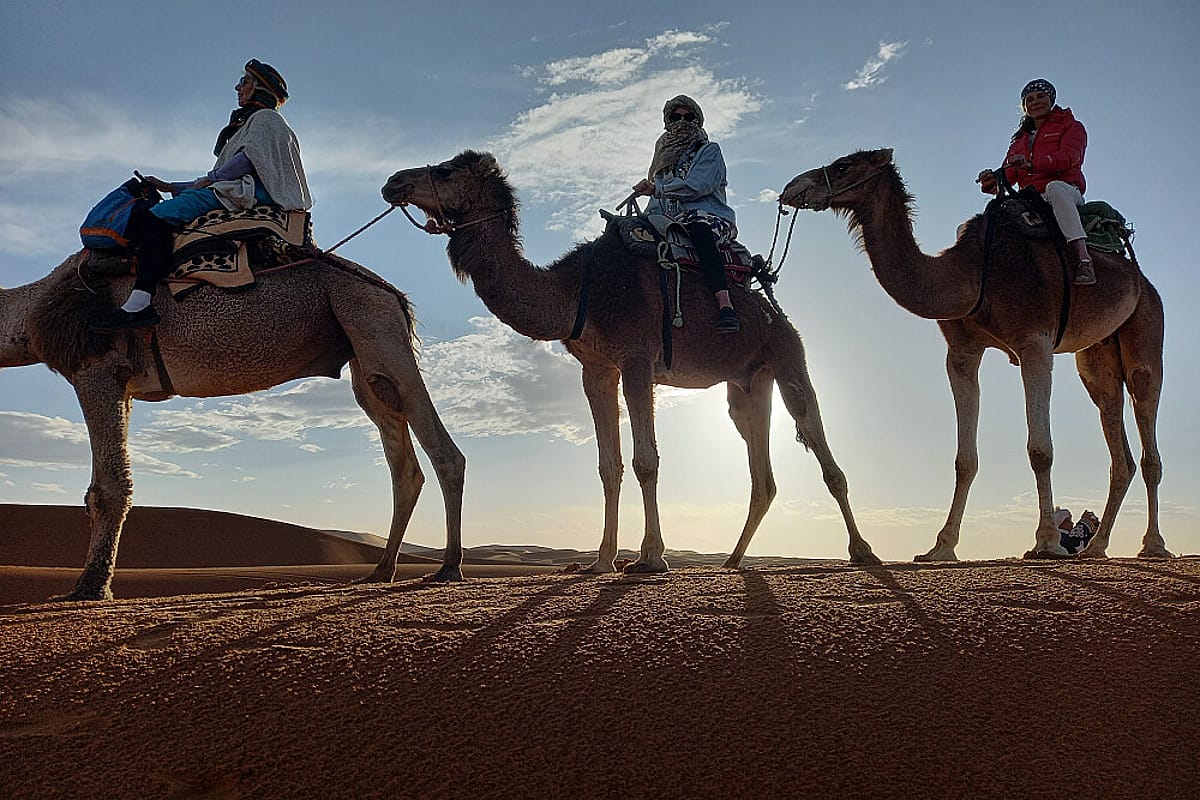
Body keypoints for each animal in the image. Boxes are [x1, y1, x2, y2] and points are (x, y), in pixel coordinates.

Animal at [0, 250, 466, 600]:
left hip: (372, 321)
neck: (32, 311)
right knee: (402, 462)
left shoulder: (97, 366)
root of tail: (396, 295)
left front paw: (90, 588)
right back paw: (381, 570)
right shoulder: (126, 385)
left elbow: (107, 489)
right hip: (363, 351)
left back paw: (449, 567)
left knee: (444, 450)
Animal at [381, 151, 878, 573]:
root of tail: (770, 304)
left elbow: (645, 461)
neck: (577, 289)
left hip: (788, 356)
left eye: (446, 171)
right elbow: (609, 465)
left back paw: (863, 551)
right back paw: (733, 561)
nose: (392, 182)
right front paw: (602, 561)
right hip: (747, 384)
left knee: (818, 442)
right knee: (763, 475)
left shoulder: (637, 359)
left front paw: (650, 558)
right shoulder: (596, 369)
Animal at [780, 148, 1171, 560]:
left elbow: (1040, 450)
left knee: (1147, 430)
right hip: (1097, 356)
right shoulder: (961, 353)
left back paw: (1153, 544)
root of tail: (1141, 280)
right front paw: (940, 547)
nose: (792, 187)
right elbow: (964, 460)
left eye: (843, 166)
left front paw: (1046, 542)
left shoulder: (1035, 343)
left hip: (1146, 327)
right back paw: (1095, 547)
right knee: (1115, 436)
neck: (970, 274)